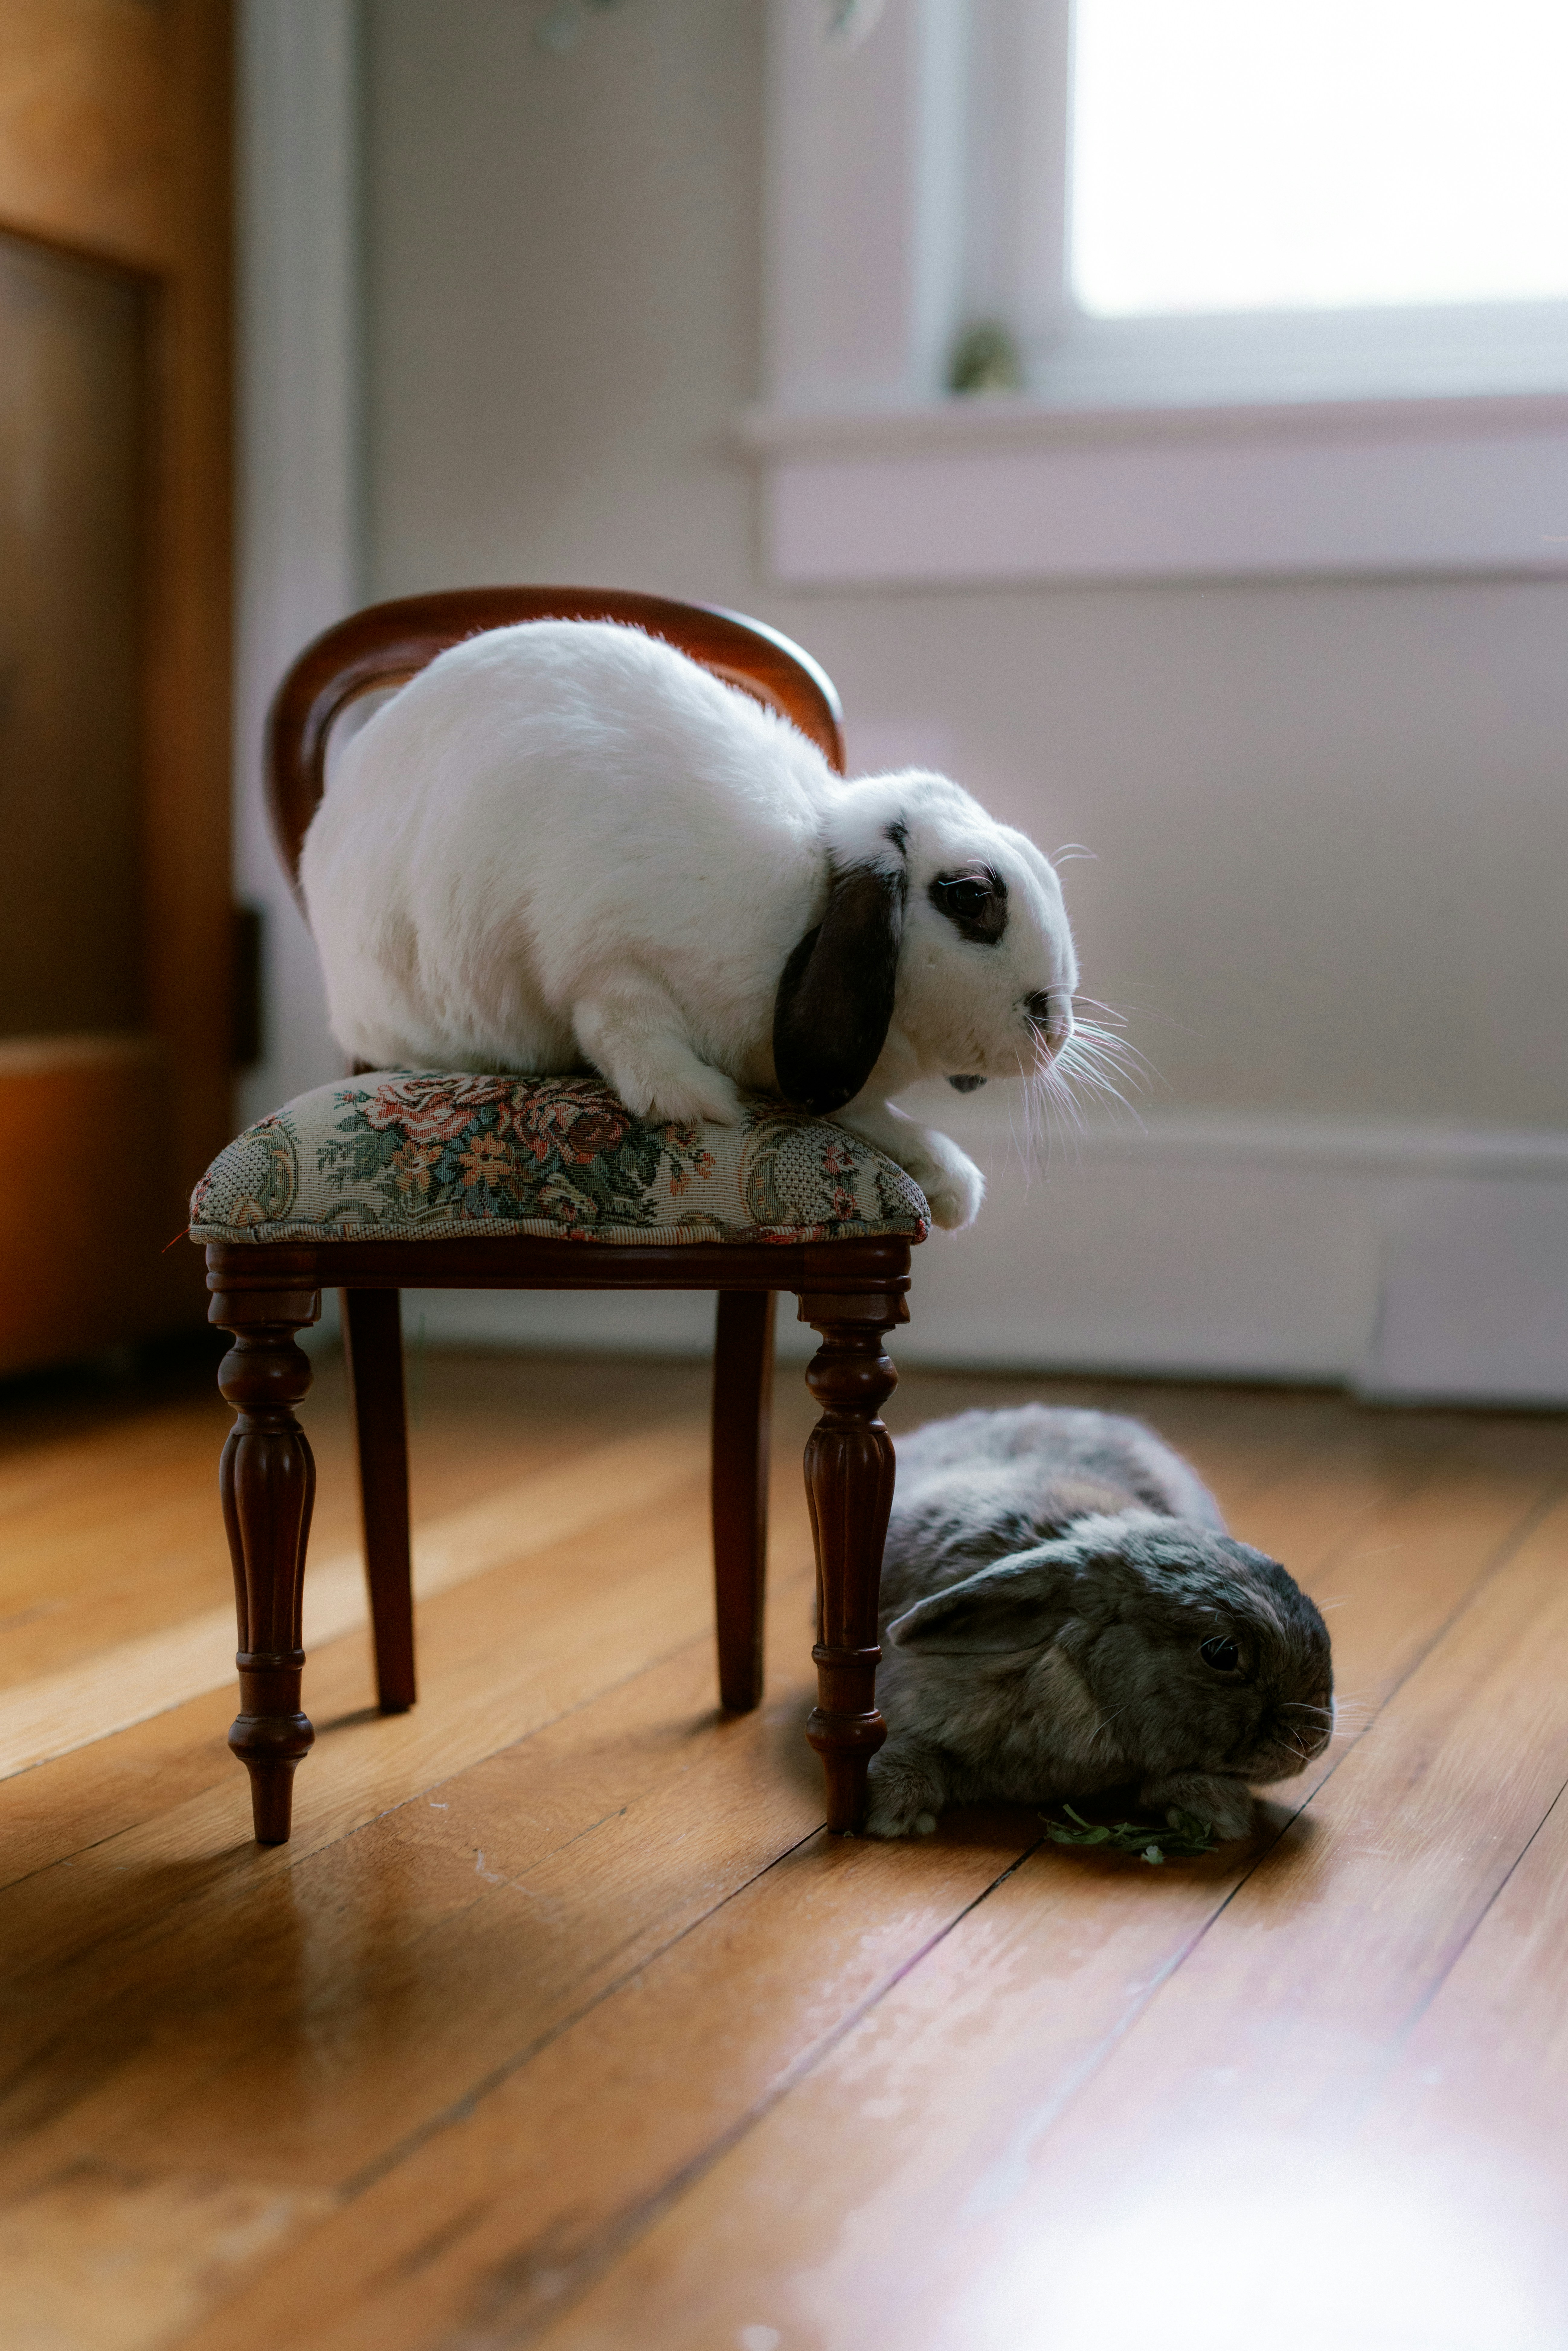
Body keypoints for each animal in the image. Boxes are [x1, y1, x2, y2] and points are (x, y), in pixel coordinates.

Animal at [299, 619, 1080, 1230]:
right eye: (971, 898)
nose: (1057, 1026)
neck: (809, 899)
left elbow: (869, 1118)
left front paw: (951, 1188)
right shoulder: (602, 954)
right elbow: (625, 1029)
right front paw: (698, 1101)